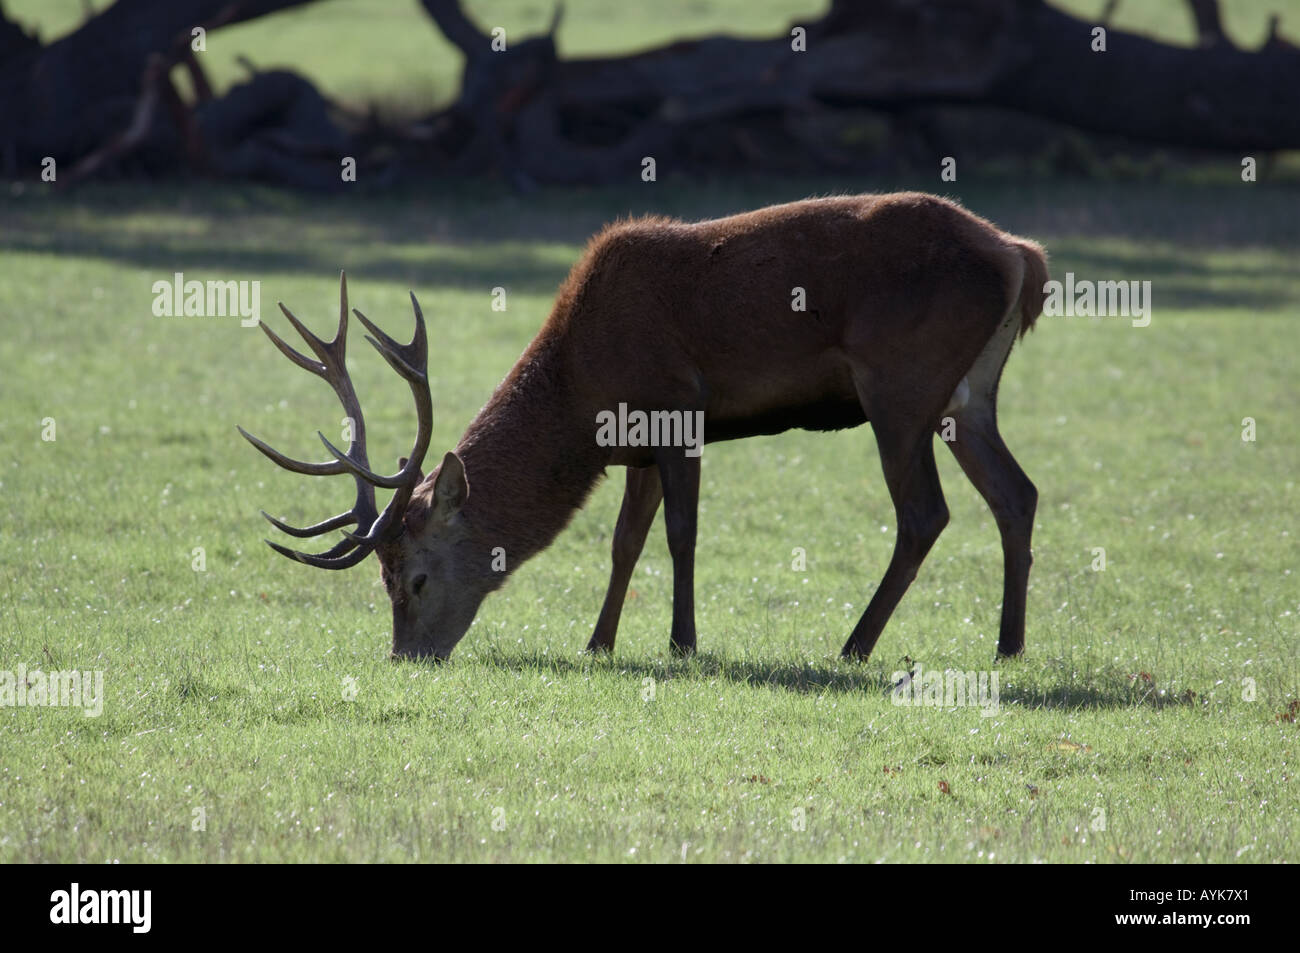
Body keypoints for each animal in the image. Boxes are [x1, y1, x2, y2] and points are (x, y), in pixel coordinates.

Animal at [238, 192, 1048, 663]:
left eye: (415, 577)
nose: (406, 656)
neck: (581, 390)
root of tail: (1022, 255)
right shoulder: (636, 449)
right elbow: (625, 542)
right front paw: (598, 644)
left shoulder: (675, 407)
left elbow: (680, 534)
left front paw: (682, 644)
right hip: (967, 397)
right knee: (1018, 493)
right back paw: (1008, 647)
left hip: (900, 386)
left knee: (925, 513)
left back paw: (854, 645)